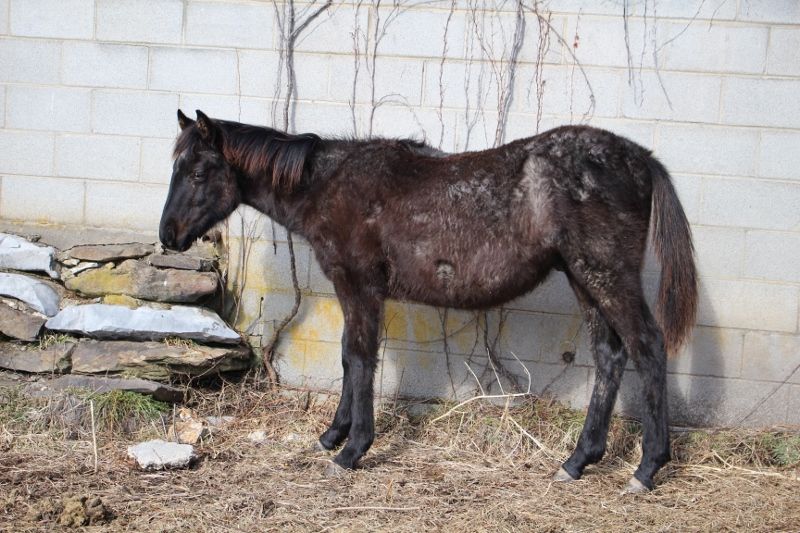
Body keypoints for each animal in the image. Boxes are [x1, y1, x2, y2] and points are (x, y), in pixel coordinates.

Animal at [159, 109, 697, 493]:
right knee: (611, 355)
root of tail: (638, 156)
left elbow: (359, 358)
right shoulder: (354, 290)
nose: (169, 235)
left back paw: (646, 469)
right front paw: (333, 435)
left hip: (607, 276)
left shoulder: (360, 286)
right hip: (586, 281)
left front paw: (351, 450)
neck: (329, 184)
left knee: (648, 347)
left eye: (201, 171)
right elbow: (348, 357)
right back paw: (578, 461)